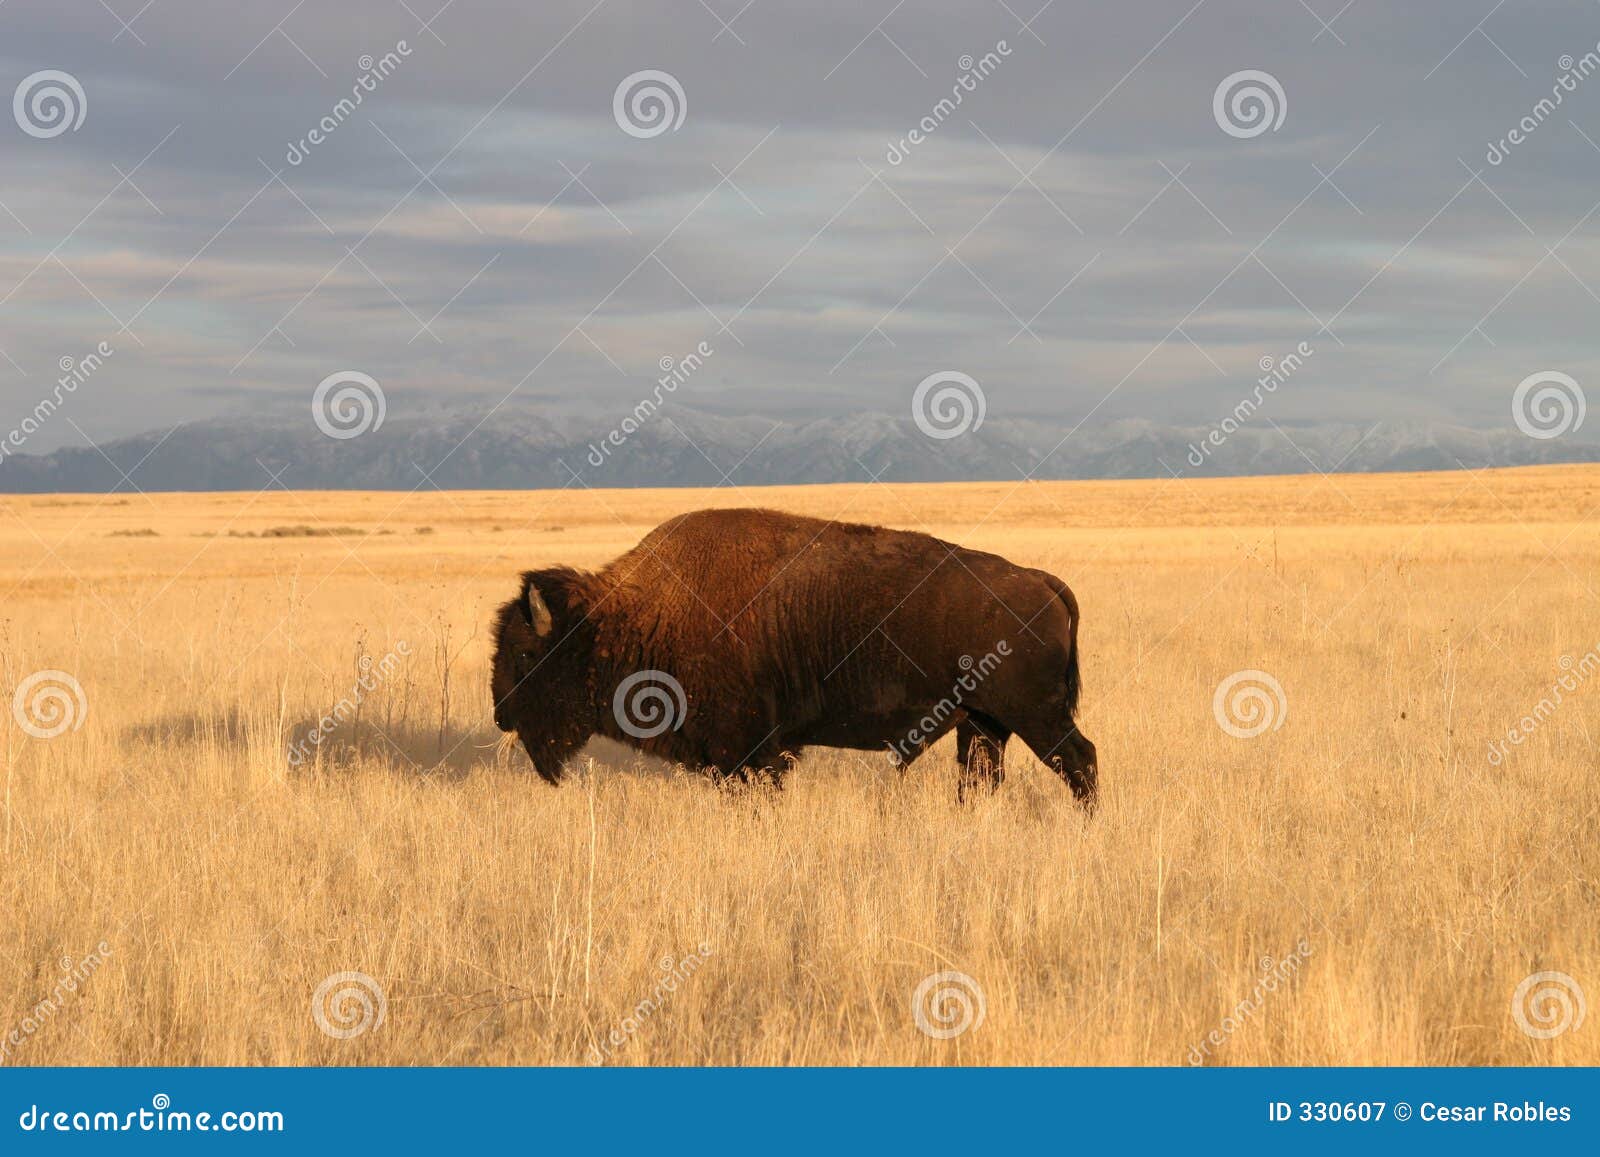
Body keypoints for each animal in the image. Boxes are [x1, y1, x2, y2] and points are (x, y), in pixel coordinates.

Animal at [491, 508, 1096, 809]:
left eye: (524, 652)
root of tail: (1040, 581)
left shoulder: (746, 751)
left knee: (1080, 759)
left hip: (1035, 715)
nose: (499, 714)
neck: (626, 616)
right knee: (981, 777)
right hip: (983, 722)